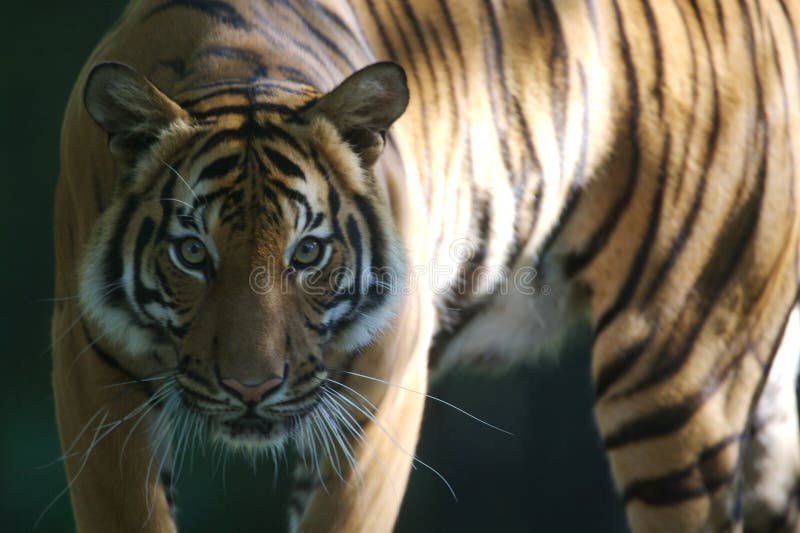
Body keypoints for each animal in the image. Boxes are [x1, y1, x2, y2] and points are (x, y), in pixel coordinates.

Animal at [51, 0, 800, 531]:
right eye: (192, 254)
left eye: (308, 252)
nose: (251, 389)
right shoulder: (93, 376)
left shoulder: (381, 388)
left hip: (676, 371)